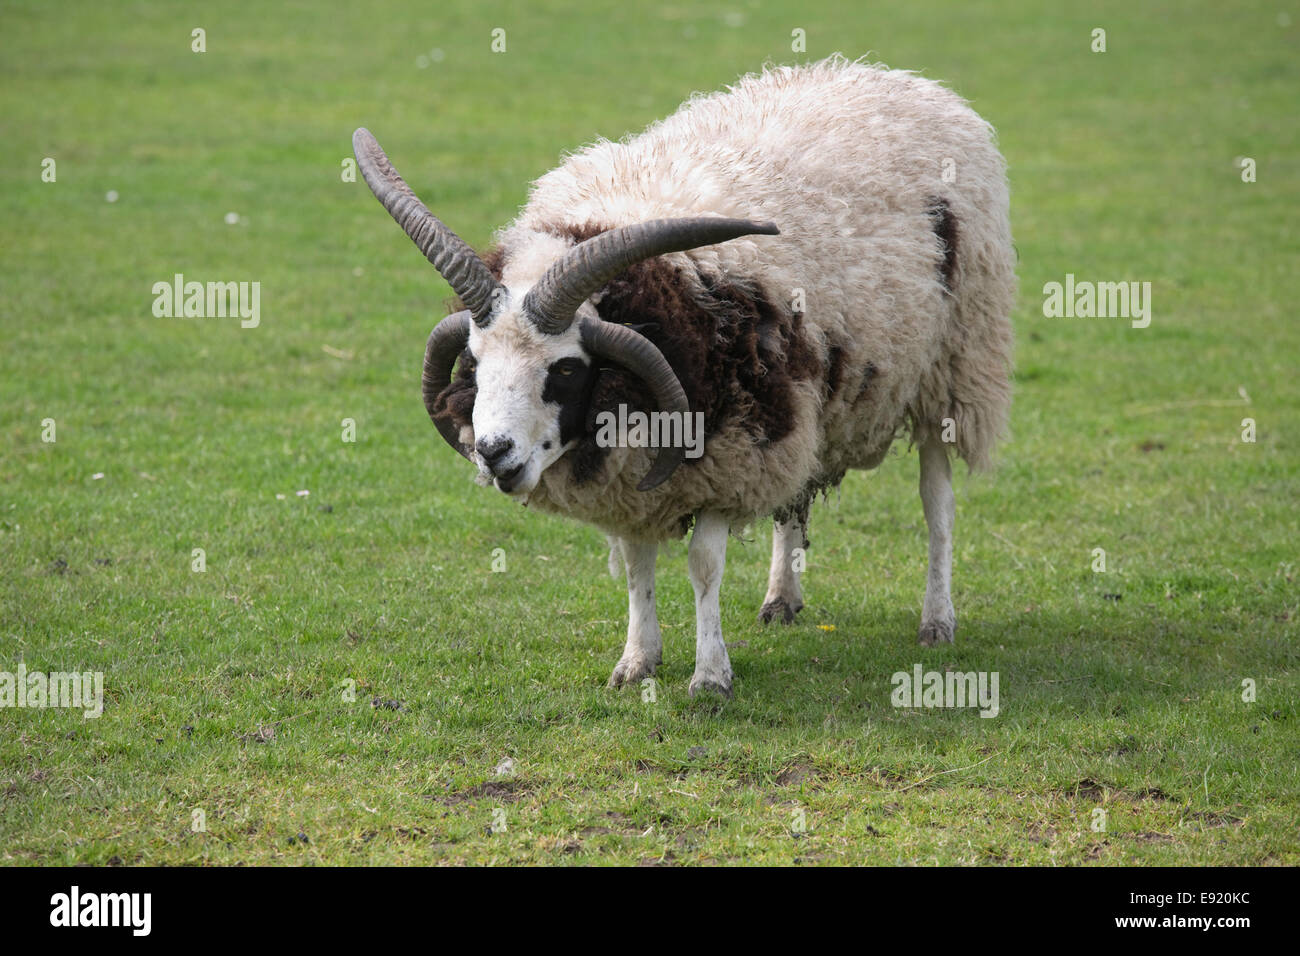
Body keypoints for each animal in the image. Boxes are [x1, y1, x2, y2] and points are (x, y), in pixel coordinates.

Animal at [354, 55, 1015, 698]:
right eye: (475, 359)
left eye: (565, 368)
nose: (493, 454)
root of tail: (897, 78)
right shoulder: (654, 469)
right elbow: (636, 564)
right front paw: (636, 663)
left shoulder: (730, 452)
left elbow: (703, 565)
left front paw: (710, 677)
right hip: (798, 406)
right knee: (795, 498)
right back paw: (782, 599)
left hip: (949, 370)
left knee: (937, 503)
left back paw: (936, 618)